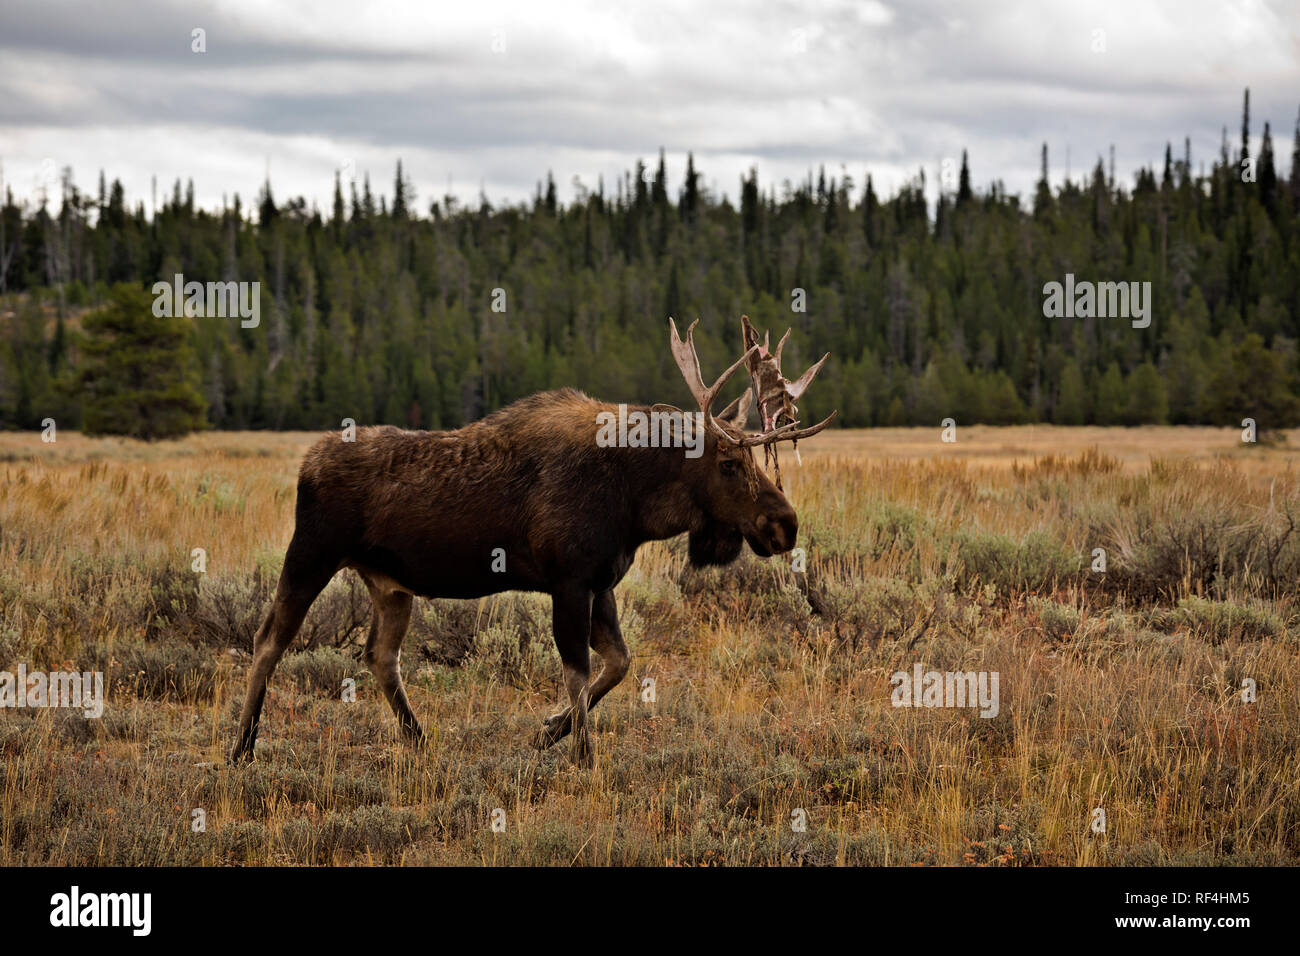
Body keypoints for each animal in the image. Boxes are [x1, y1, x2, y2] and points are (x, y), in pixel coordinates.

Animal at [228, 317, 834, 765]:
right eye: (730, 463)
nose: (785, 524)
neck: (636, 501)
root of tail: (307, 463)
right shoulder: (568, 580)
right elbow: (579, 671)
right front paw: (583, 755)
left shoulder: (601, 583)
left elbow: (619, 662)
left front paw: (547, 731)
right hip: (310, 553)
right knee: (268, 640)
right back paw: (242, 746)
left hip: (390, 585)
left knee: (379, 655)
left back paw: (418, 737)